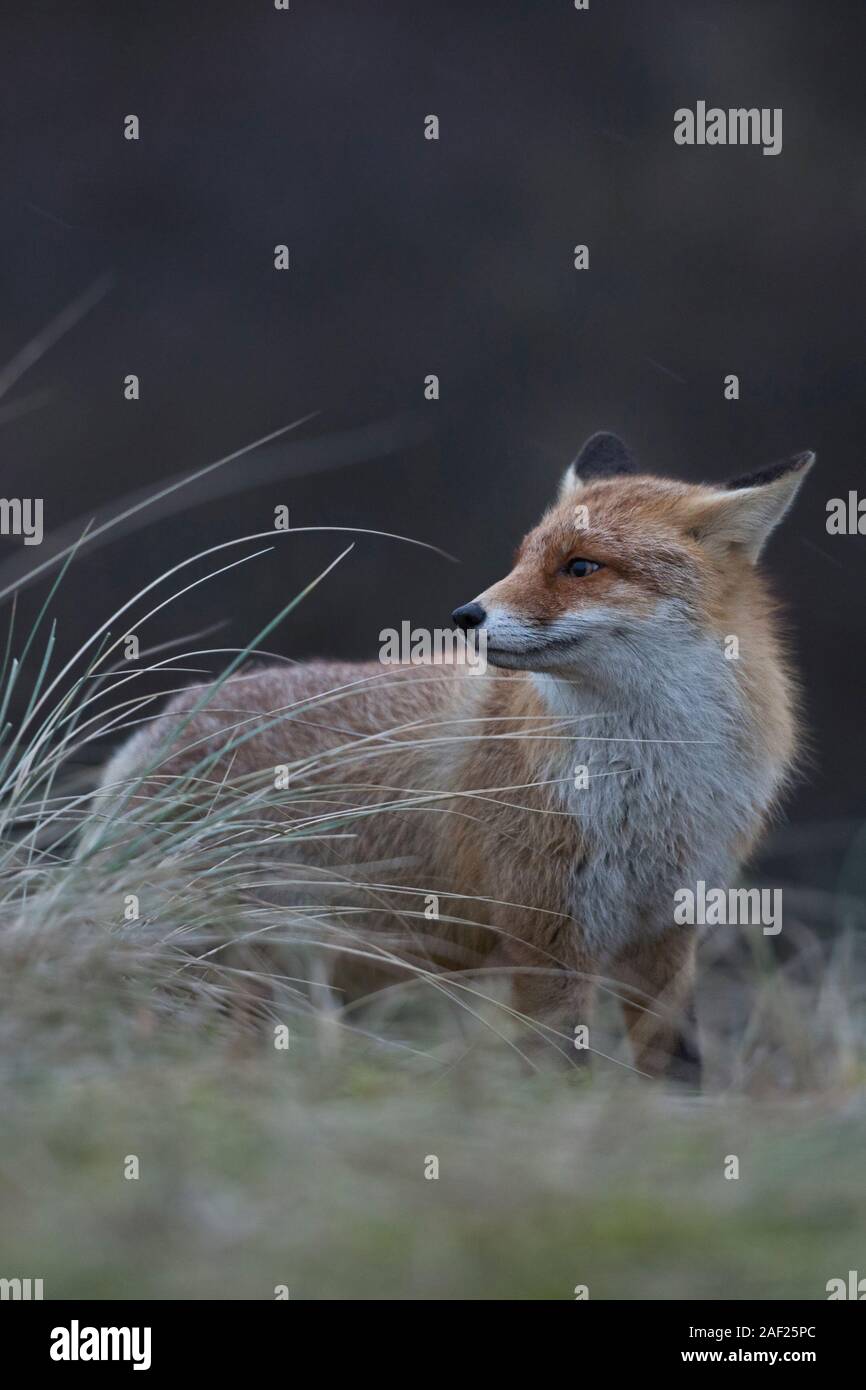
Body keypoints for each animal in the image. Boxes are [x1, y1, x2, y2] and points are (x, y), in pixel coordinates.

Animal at [98, 432, 814, 1083]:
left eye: (581, 566)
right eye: (522, 558)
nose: (466, 614)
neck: (652, 781)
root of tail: (149, 735)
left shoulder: (666, 932)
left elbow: (678, 1069)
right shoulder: (547, 935)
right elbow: (560, 1072)